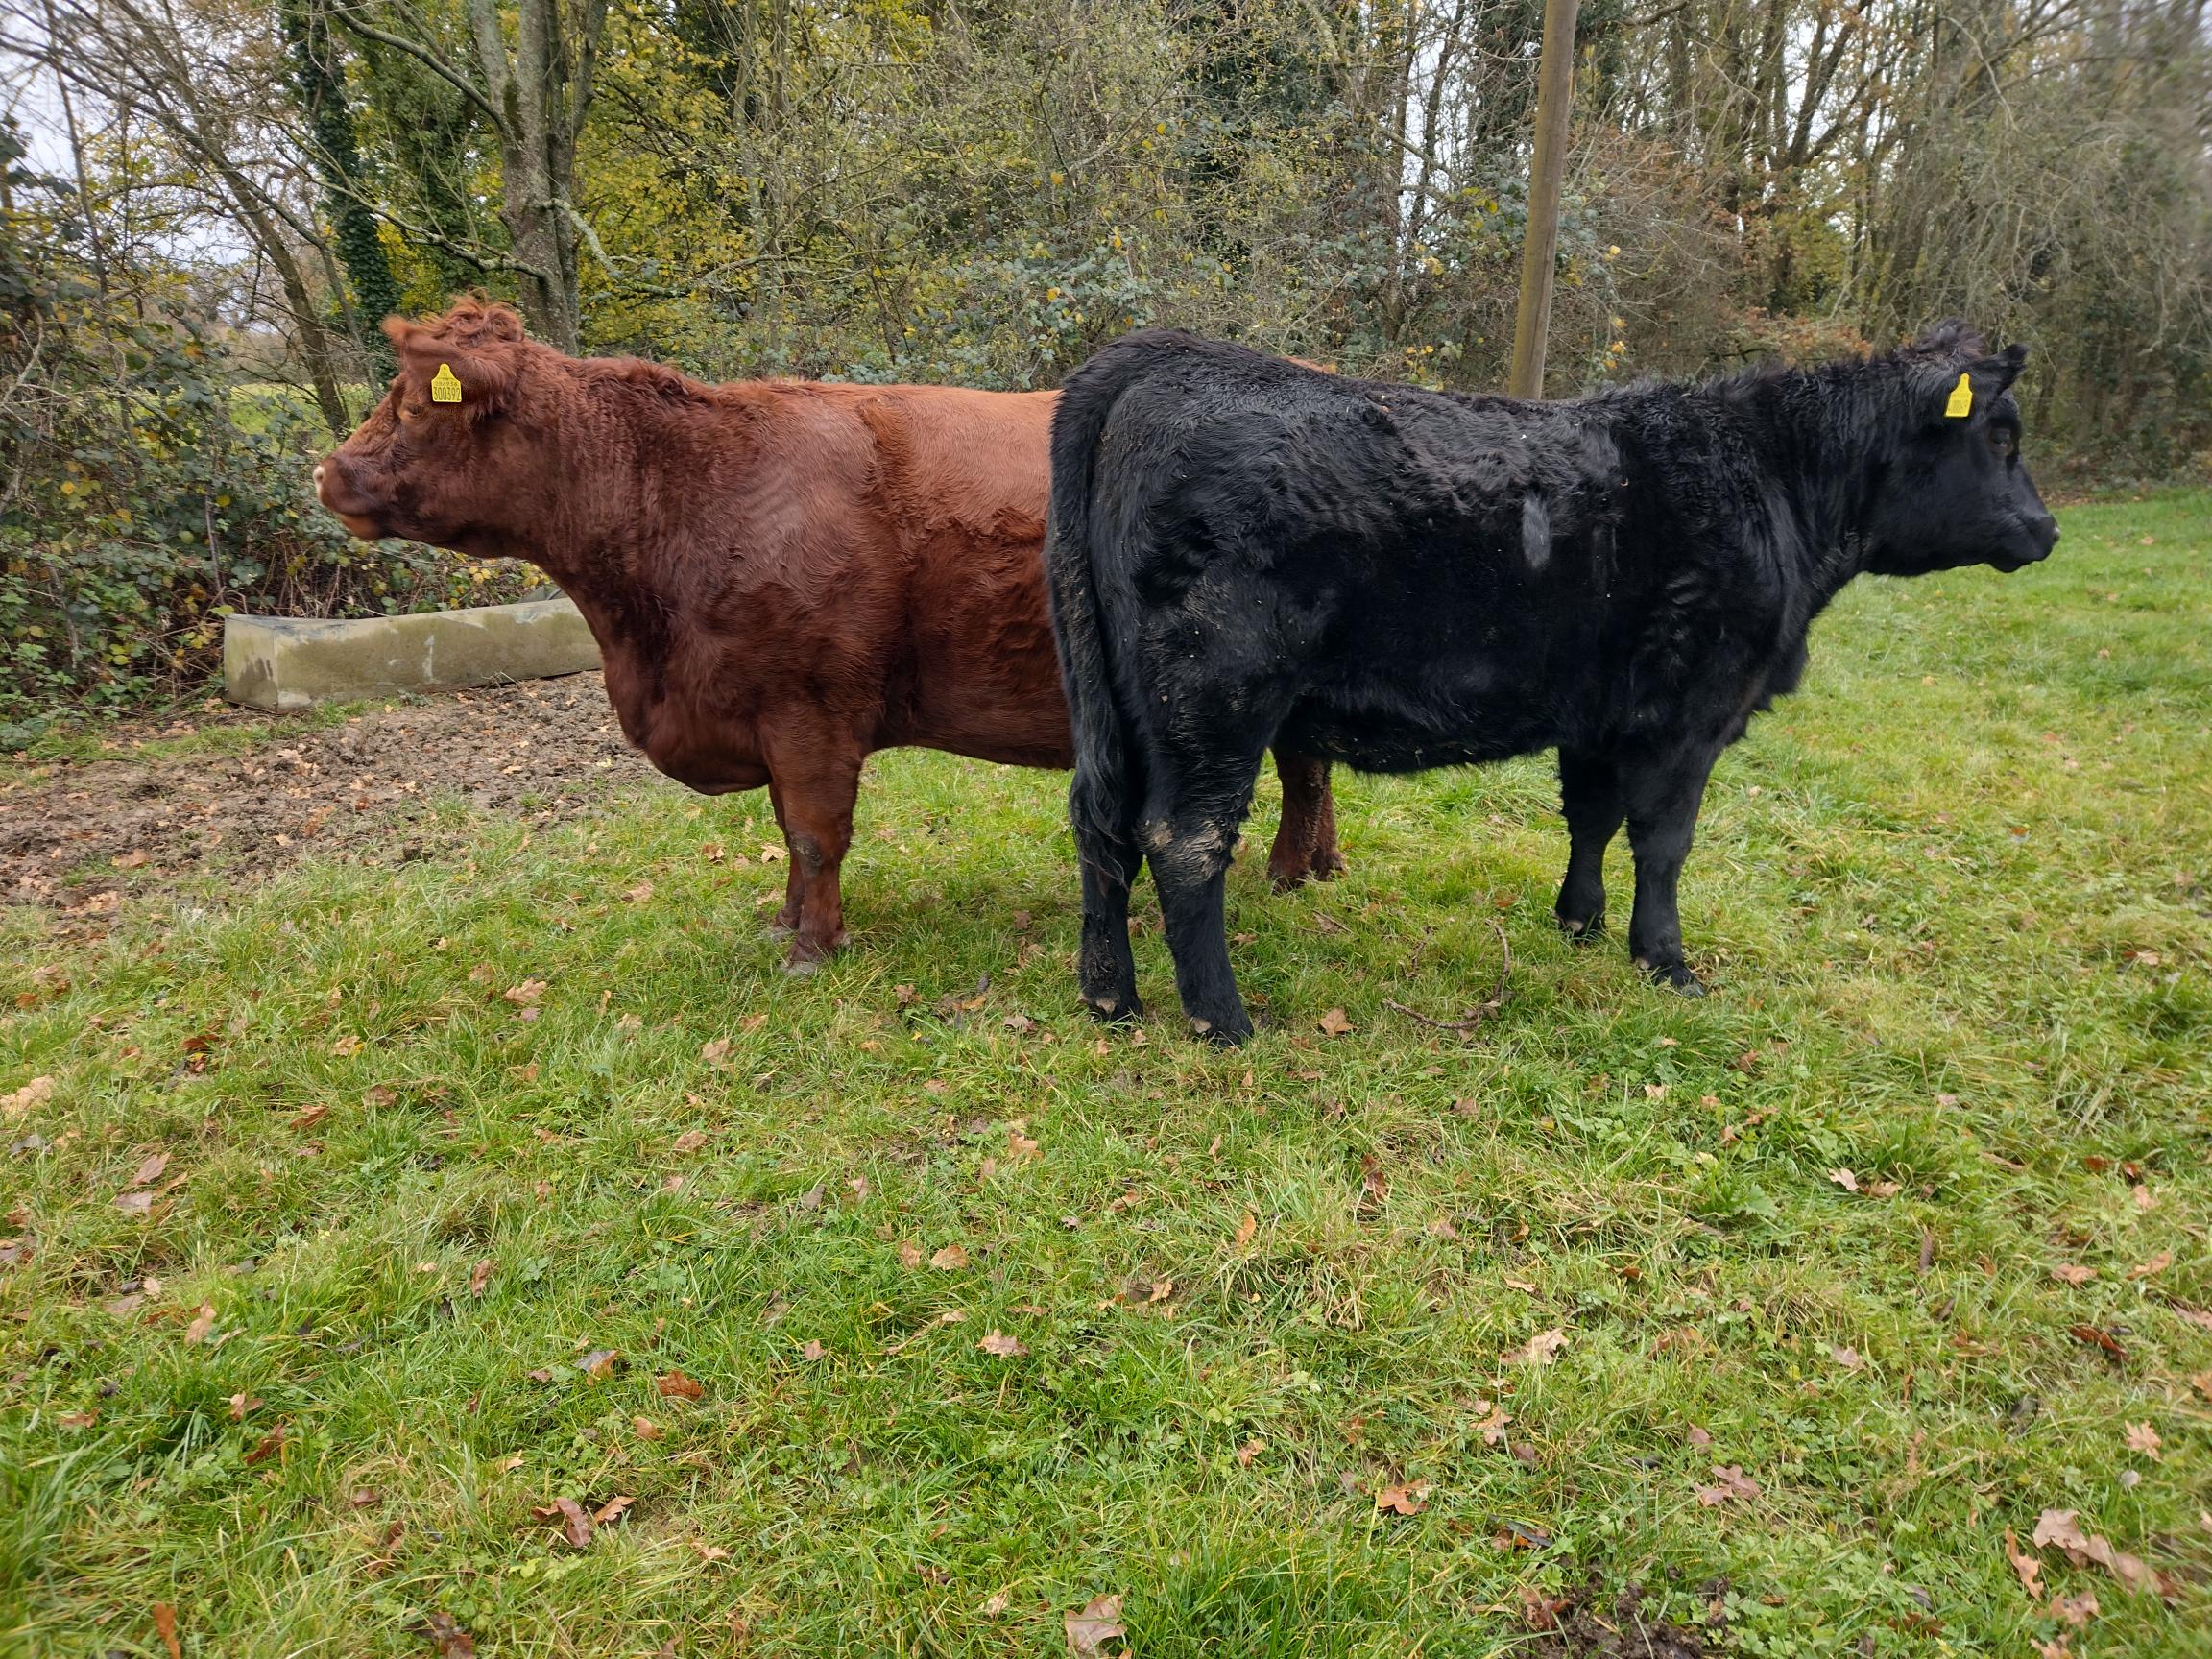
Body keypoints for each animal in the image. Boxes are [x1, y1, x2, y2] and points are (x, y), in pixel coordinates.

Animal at [312, 299, 1342, 971]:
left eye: (413, 405)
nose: (327, 472)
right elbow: (786, 832)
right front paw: (785, 925)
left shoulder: (808, 709)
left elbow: (812, 833)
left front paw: (812, 947)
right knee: (1310, 768)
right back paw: (1308, 870)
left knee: (1303, 770)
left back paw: (1293, 870)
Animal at [1044, 323, 2058, 1044]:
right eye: (2002, 437)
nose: (2047, 529)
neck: (1776, 482)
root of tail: (1161, 355)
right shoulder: (1691, 714)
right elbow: (1664, 843)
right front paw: (1666, 963)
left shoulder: (1603, 716)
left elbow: (1592, 819)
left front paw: (1579, 923)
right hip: (1213, 697)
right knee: (1184, 840)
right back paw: (1223, 1021)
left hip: (1118, 699)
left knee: (1102, 821)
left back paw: (1111, 998)